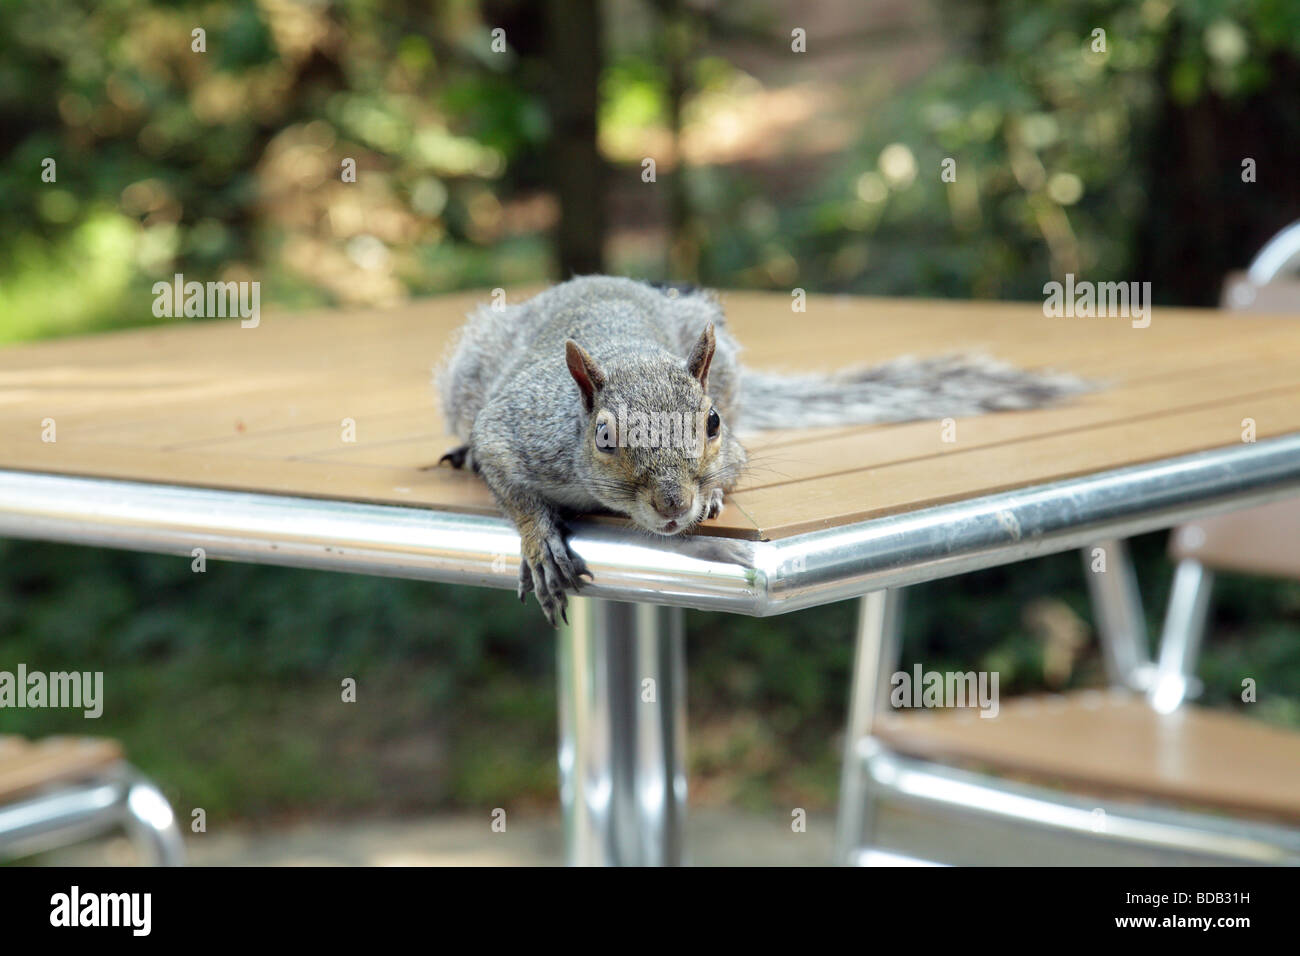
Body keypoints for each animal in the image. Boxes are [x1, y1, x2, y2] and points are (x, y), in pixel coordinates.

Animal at [436, 276, 1088, 624]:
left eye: (713, 423)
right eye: (603, 436)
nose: (674, 504)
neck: (632, 354)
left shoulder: (736, 450)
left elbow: (736, 469)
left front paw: (711, 498)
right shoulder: (520, 429)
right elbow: (503, 471)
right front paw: (539, 539)